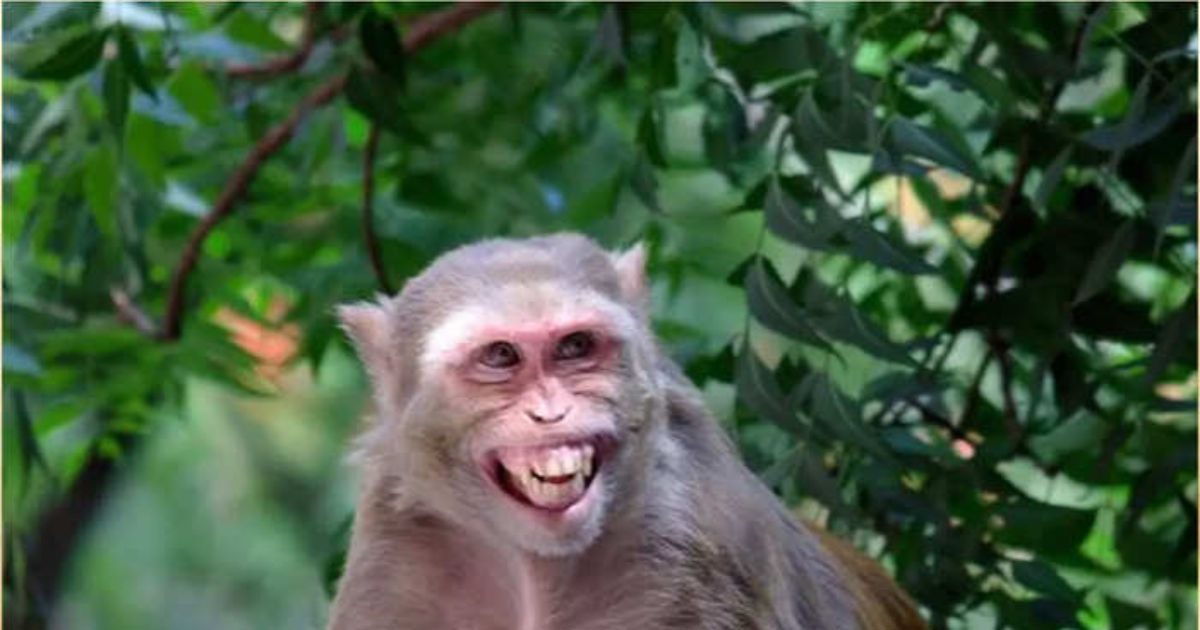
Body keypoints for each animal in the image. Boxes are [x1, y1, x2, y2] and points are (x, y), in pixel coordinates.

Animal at [328, 233, 926, 630]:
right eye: (500, 356)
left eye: (575, 346)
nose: (551, 412)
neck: (537, 571)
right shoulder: (394, 555)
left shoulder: (700, 546)